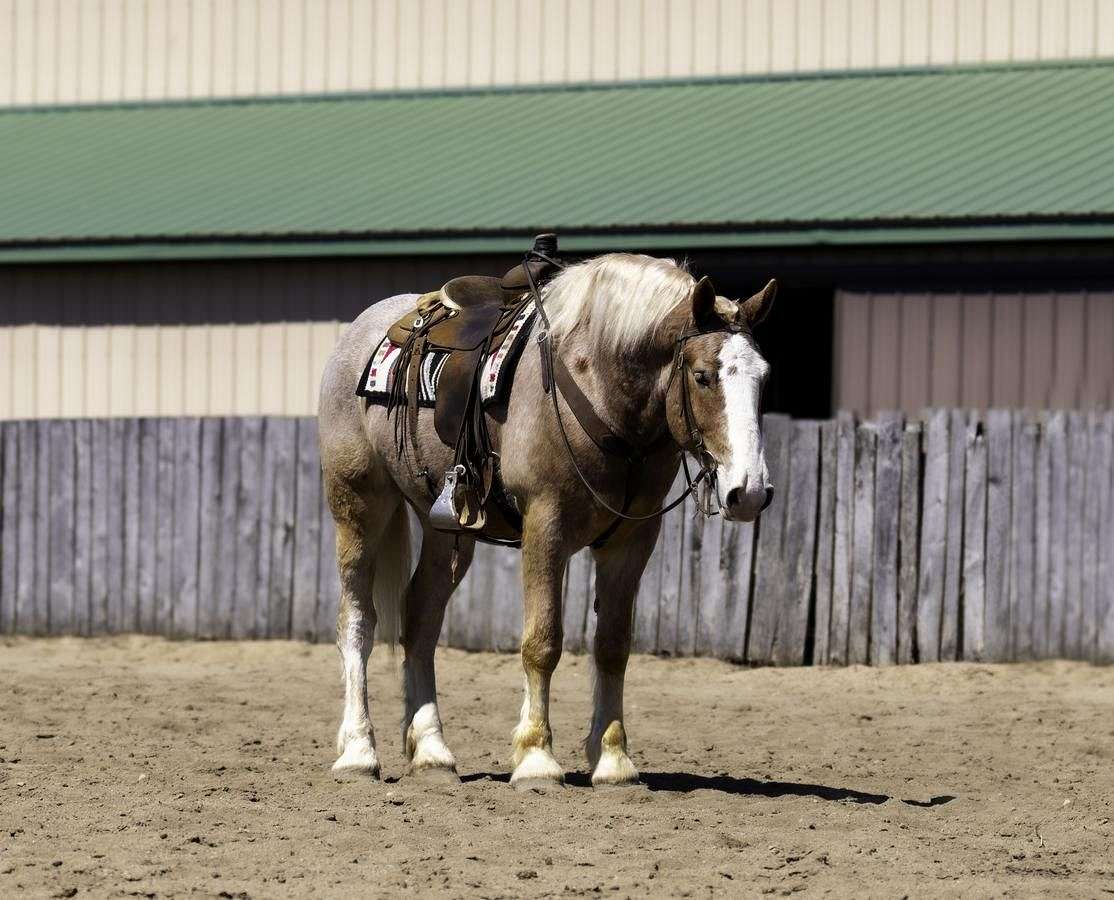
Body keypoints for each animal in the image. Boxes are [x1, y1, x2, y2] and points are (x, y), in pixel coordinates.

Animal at [317, 252, 776, 789]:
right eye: (703, 375)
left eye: (763, 378)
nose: (749, 492)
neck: (599, 384)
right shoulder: (545, 524)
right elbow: (542, 641)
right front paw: (536, 757)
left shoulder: (633, 539)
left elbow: (612, 644)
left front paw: (613, 760)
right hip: (357, 504)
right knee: (357, 620)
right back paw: (358, 752)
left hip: (446, 530)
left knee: (422, 619)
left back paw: (432, 751)